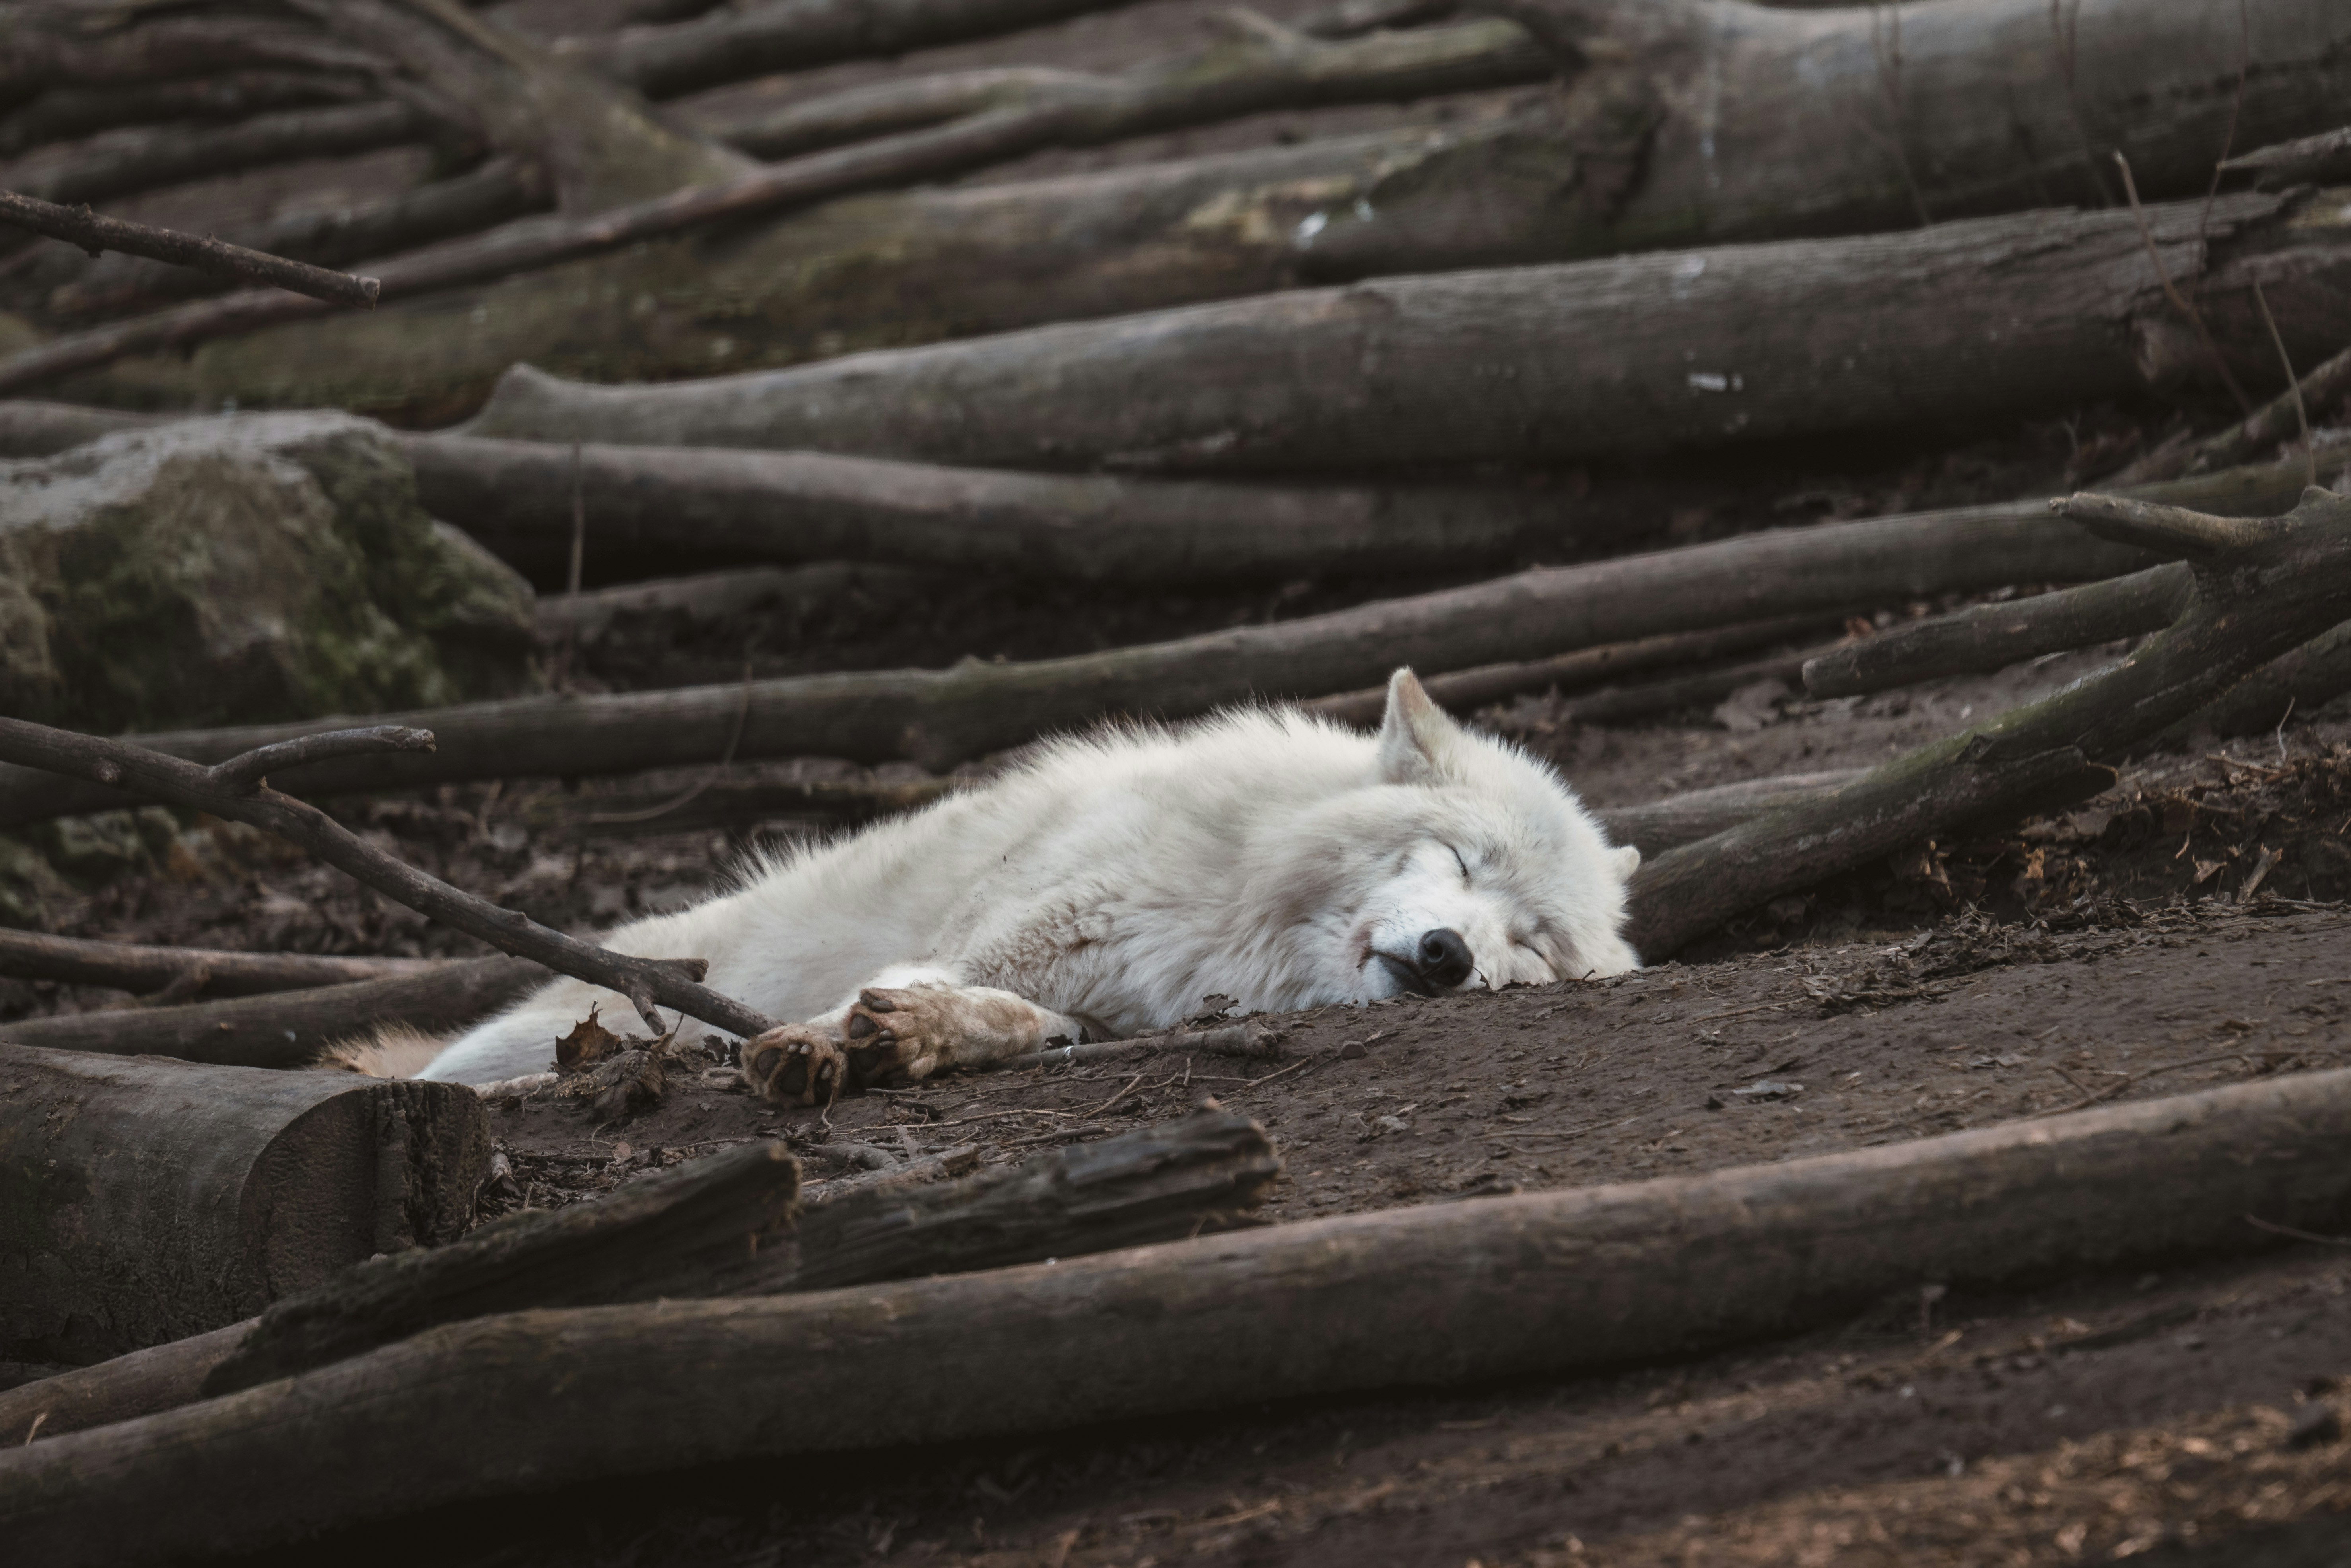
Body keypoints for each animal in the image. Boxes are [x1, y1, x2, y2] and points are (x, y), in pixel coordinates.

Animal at [408, 669, 1642, 1101]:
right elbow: (913, 981)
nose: (1448, 955)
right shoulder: (1020, 924)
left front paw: (911, 1037)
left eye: (1533, 941)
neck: (1227, 923)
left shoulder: (1104, 1006)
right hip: (533, 1029)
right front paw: (820, 1043)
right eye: (1462, 860)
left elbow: (1011, 1021)